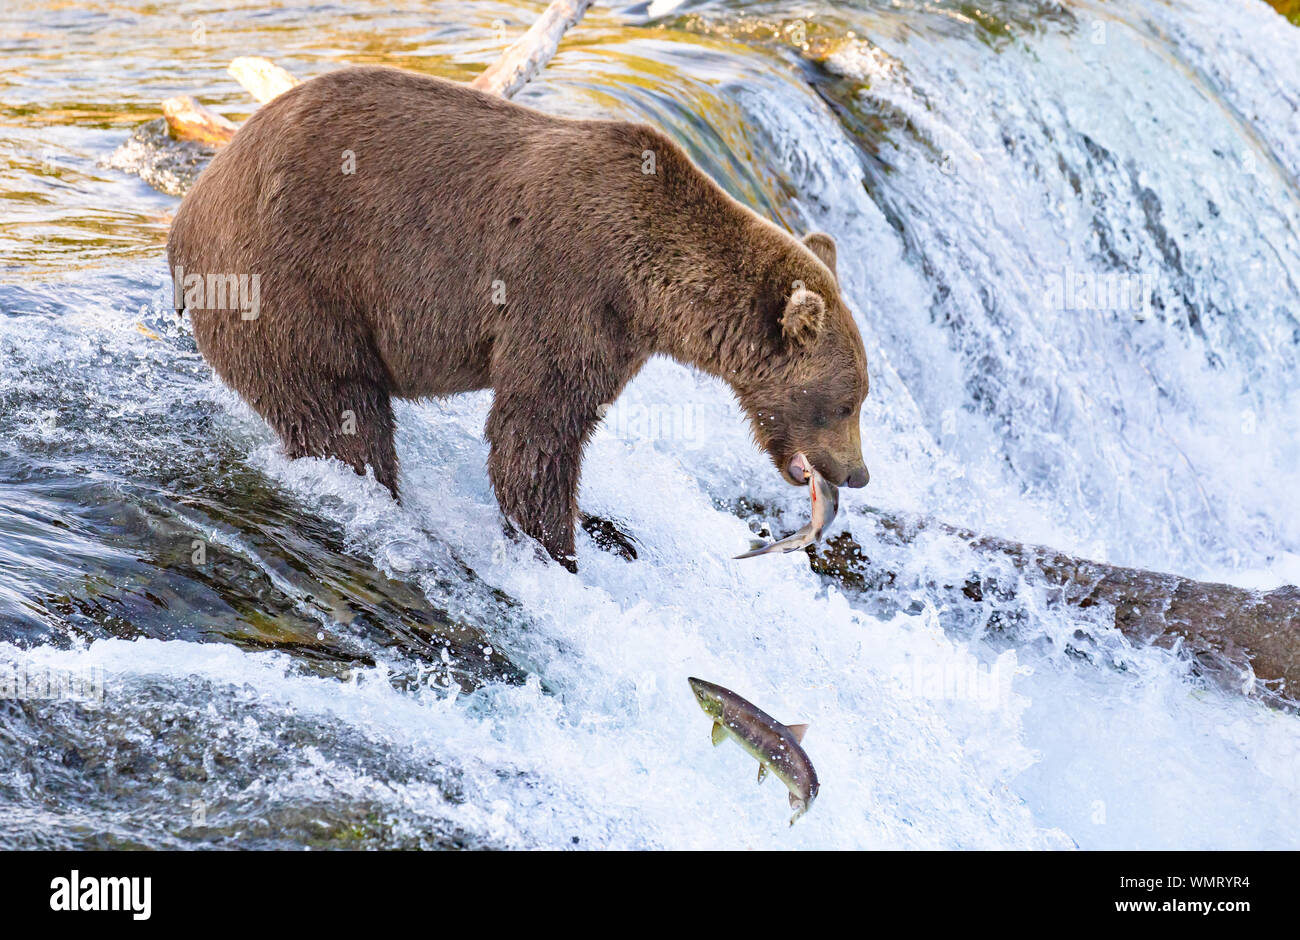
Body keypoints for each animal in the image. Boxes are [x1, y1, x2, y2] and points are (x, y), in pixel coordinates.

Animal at [167, 66, 870, 571]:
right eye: (845, 403)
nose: (856, 474)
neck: (649, 286)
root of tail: (191, 208)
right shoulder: (568, 292)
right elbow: (536, 429)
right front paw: (557, 546)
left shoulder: (619, 333)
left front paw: (593, 530)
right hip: (292, 282)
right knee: (339, 410)